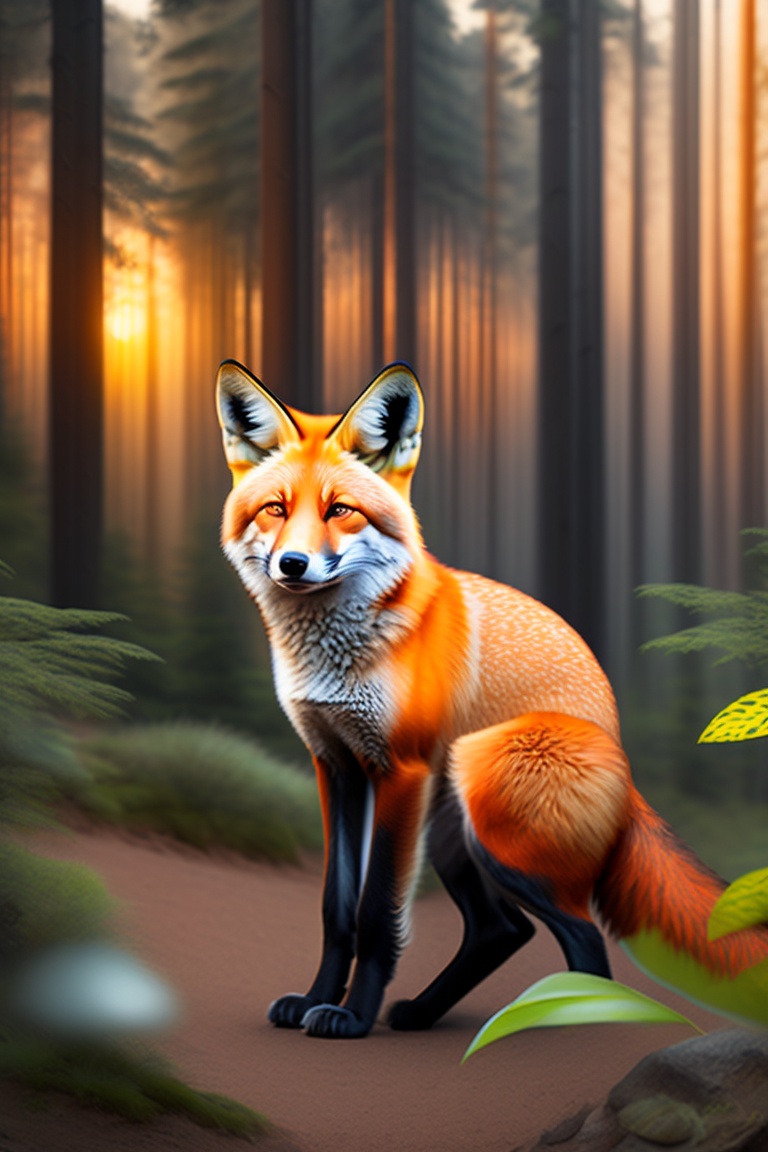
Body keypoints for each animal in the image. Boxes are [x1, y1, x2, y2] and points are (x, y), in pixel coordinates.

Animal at [216, 358, 768, 1040]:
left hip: (484, 799)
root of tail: (624, 762)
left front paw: (350, 1016)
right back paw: (423, 1012)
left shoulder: (401, 771)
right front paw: (317, 998)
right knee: (502, 930)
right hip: (453, 837)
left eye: (340, 509)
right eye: (275, 508)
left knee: (583, 937)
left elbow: (375, 914)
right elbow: (335, 909)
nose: (292, 564)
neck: (337, 656)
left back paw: (571, 1018)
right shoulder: (337, 766)